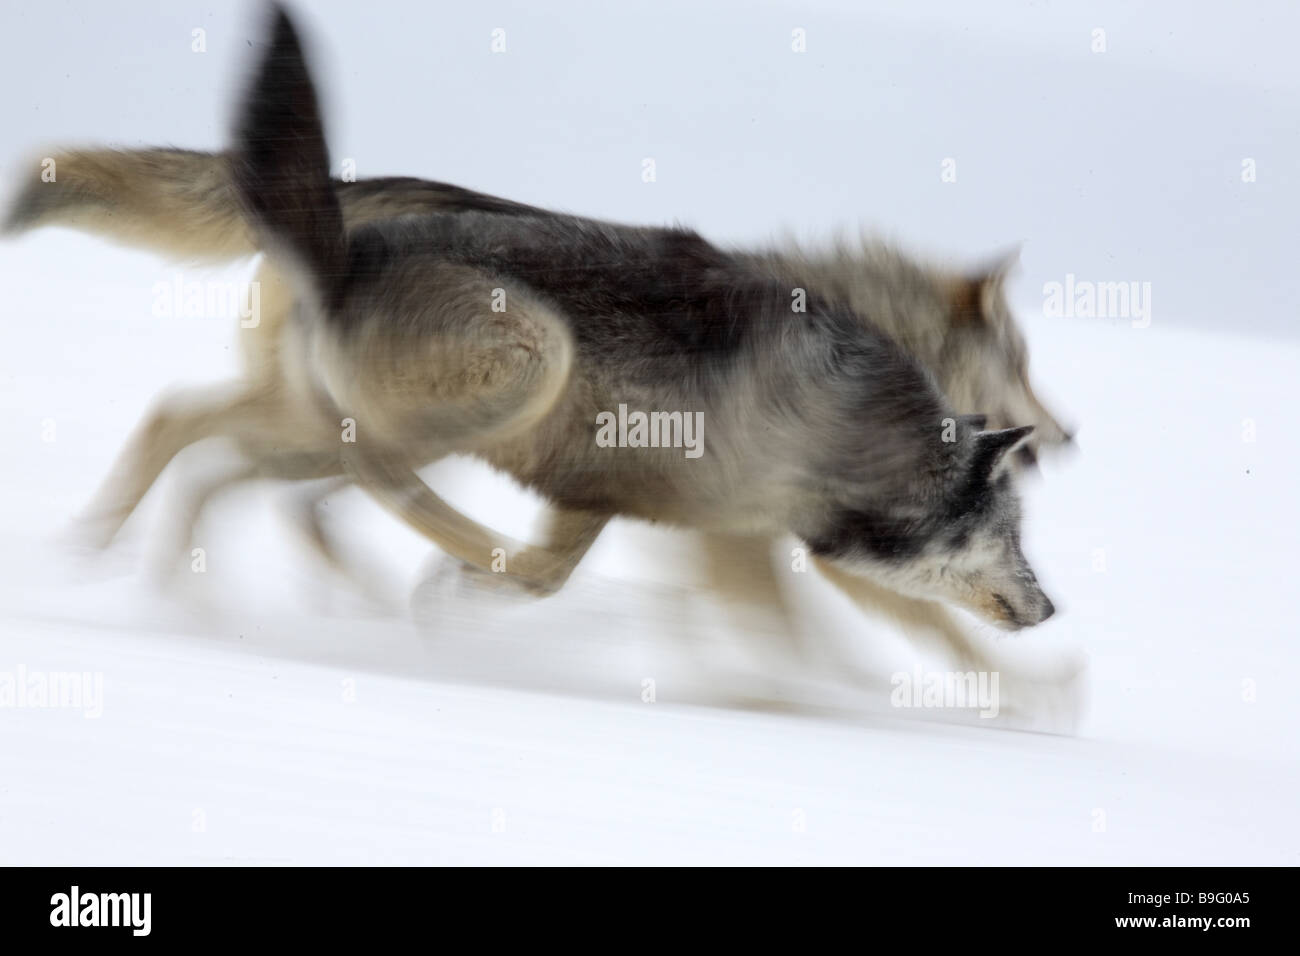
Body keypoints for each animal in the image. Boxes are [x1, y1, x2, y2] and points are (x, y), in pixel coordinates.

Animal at [4, 9, 1060, 670]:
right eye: (1014, 537)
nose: (1052, 607)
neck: (855, 428)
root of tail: (344, 236)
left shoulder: (616, 501)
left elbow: (556, 577)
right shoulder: (705, 531)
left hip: (324, 421)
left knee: (200, 436)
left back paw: (142, 572)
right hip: (523, 363)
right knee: (352, 471)